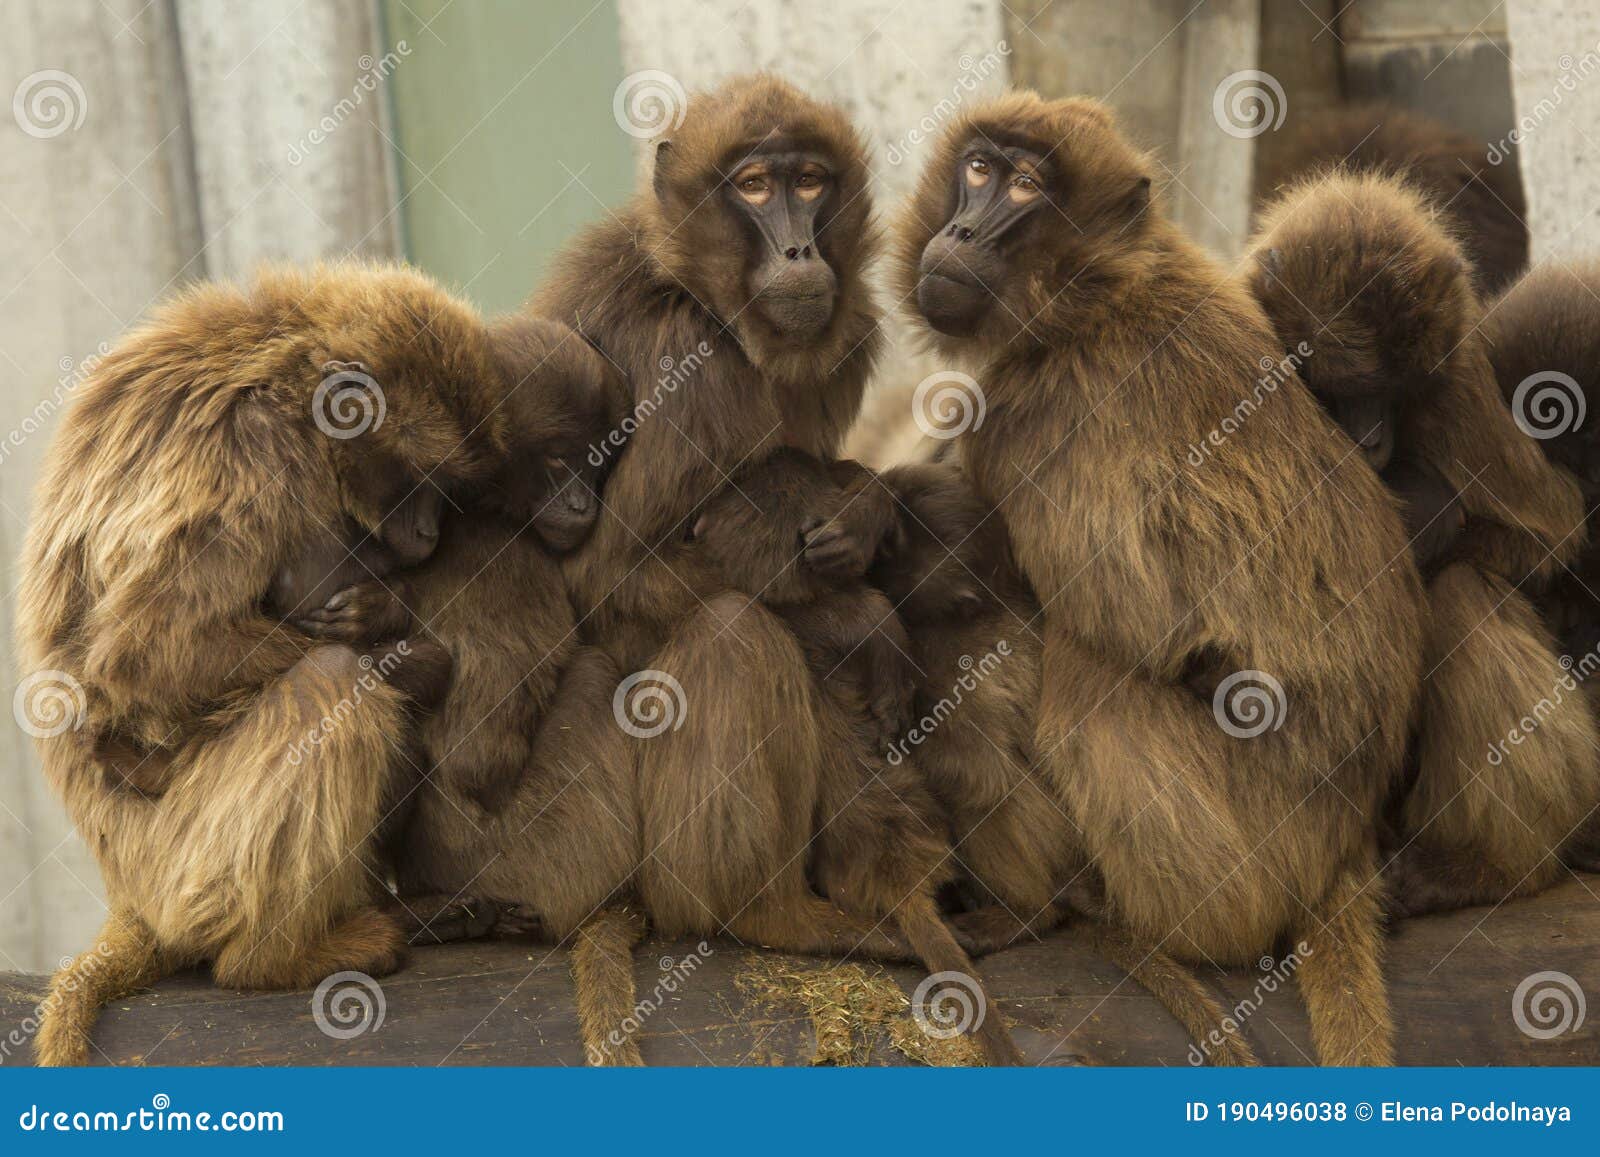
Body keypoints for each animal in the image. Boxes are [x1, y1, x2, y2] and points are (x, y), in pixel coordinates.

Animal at [23, 264, 524, 1065]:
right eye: (421, 484)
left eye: (447, 495)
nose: (425, 535)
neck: (285, 380)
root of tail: (128, 892)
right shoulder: (250, 452)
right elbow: (144, 655)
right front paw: (405, 650)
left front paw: (387, 615)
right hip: (182, 867)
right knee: (329, 683)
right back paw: (271, 959)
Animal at [531, 75, 920, 965]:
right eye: (753, 187)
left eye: (808, 181)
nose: (800, 251)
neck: (702, 298)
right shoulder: (692, 368)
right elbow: (611, 575)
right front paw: (862, 620)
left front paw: (865, 507)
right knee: (733, 631)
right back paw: (778, 916)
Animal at [895, 93, 1425, 1066]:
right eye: (979, 168)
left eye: (1024, 187)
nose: (963, 229)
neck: (1096, 295)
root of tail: (1340, 847)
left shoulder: (1032, 423)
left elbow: (1143, 629)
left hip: (1254, 850)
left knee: (1093, 678)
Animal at [1243, 171, 1600, 915]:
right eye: (1348, 388)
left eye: (1398, 389)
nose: (1373, 437)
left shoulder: (1456, 378)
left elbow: (1546, 534)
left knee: (1460, 591)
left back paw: (1483, 866)